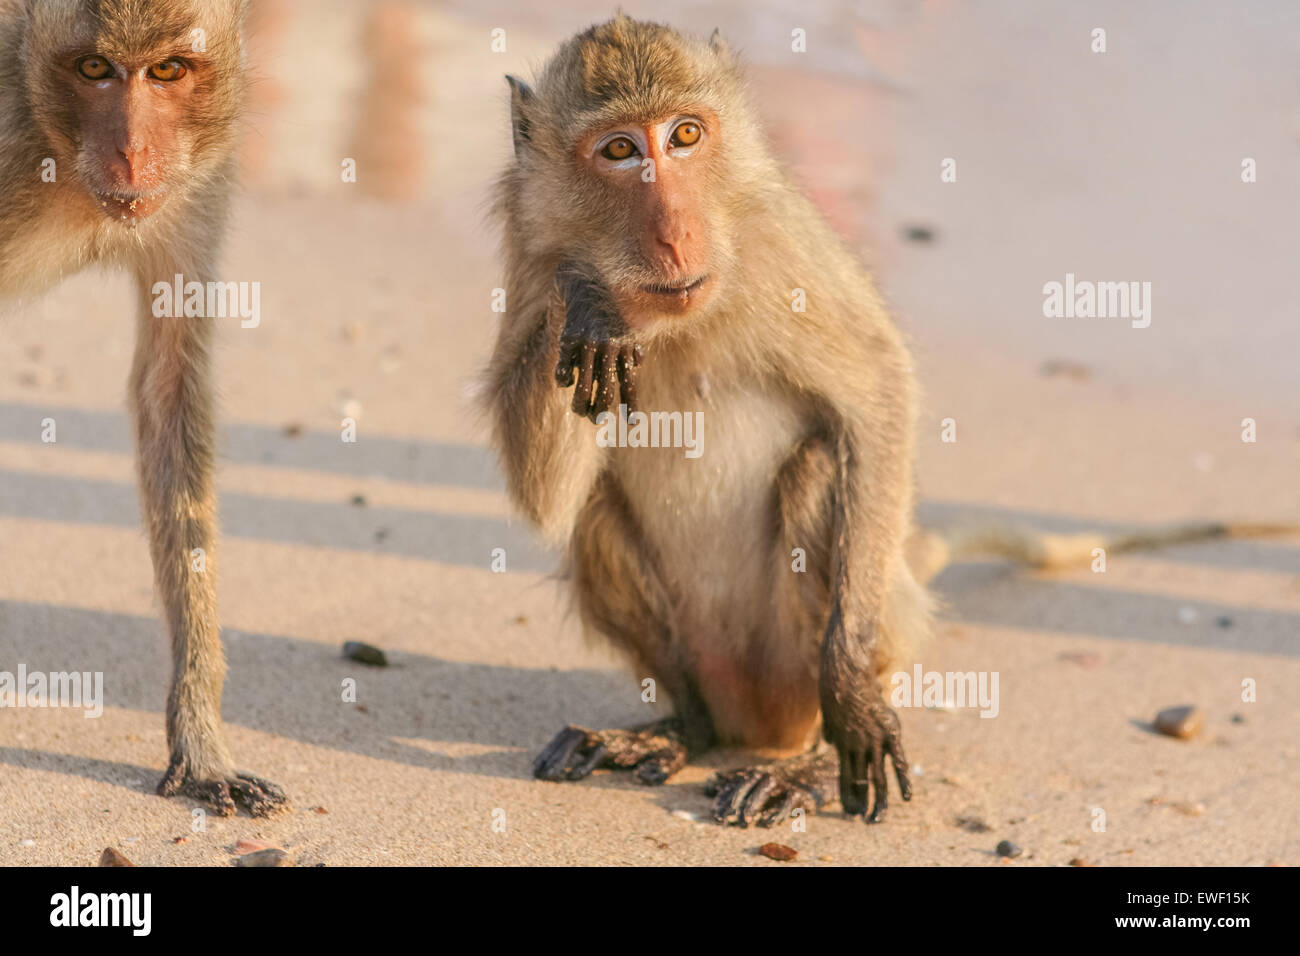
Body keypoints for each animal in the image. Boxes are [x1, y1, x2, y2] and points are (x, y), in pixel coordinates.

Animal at [0, 0, 285, 816]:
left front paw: (201, 740)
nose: (131, 156)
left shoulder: (198, 184)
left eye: (167, 70)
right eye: (95, 68)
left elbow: (167, 387)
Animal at [485, 16, 1300, 829]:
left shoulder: (780, 245)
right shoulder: (531, 253)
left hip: (820, 651)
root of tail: (756, 721)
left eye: (685, 135)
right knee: (597, 511)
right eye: (620, 150)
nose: (675, 235)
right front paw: (589, 294)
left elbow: (875, 398)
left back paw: (810, 760)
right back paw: (686, 725)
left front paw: (848, 691)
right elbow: (543, 497)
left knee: (817, 474)